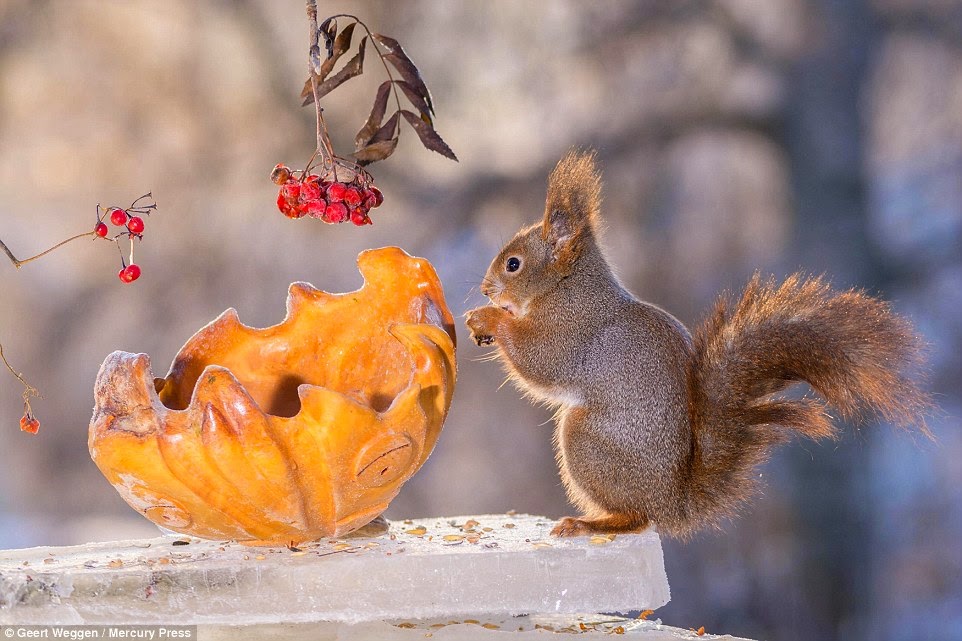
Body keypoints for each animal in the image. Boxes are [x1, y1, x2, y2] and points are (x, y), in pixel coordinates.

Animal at [465, 150, 932, 539]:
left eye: (513, 264)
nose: (486, 290)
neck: (566, 286)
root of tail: (672, 502)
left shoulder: (572, 330)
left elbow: (540, 361)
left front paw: (487, 318)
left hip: (584, 440)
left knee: (635, 517)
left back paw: (591, 522)